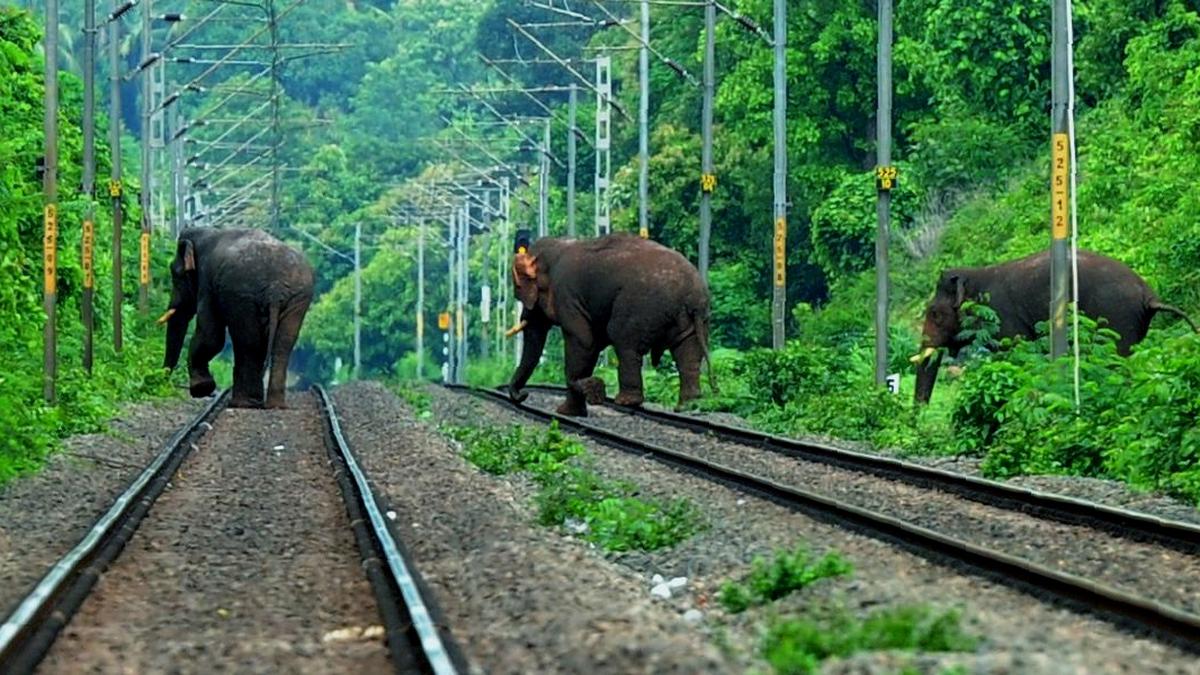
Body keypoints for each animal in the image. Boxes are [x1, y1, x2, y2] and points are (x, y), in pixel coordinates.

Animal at [160, 227, 314, 409]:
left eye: (175, 273)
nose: (164, 381)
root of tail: (275, 287)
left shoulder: (207, 283)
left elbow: (210, 336)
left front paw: (201, 389)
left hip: (242, 295)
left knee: (248, 341)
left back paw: (243, 403)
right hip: (297, 298)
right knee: (282, 343)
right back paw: (271, 405)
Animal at [506, 233, 713, 416]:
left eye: (518, 291)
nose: (523, 395)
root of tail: (694, 293)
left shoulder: (567, 296)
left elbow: (583, 341)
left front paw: (569, 408)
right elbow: (592, 345)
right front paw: (572, 410)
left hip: (640, 307)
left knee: (623, 341)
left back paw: (626, 402)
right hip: (691, 319)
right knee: (687, 353)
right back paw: (688, 406)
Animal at [911, 248, 1197, 404]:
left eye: (935, 314)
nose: (917, 420)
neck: (977, 273)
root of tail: (1149, 294)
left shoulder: (1003, 318)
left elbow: (1014, 353)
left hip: (1117, 317)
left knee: (1117, 361)